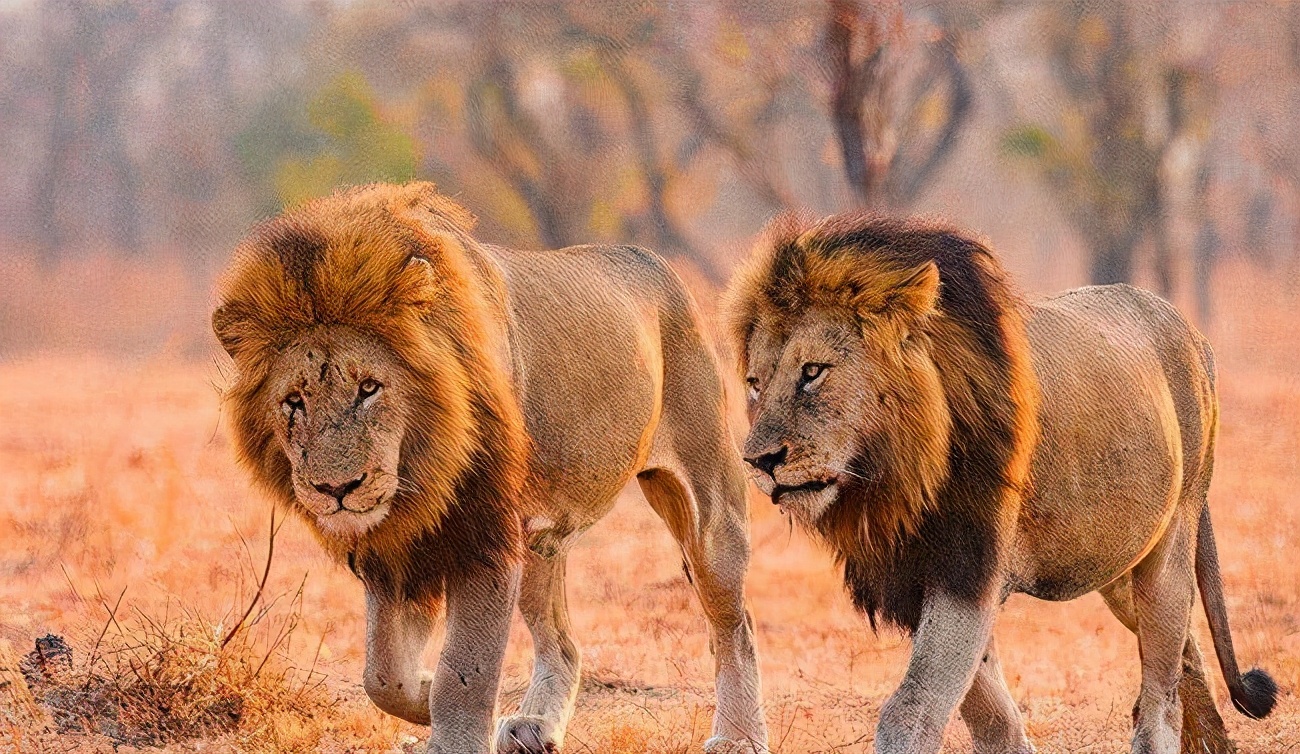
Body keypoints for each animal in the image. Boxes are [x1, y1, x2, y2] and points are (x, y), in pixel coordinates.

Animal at [212, 182, 768, 754]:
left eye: (369, 387)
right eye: (294, 401)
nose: (337, 488)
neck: (422, 469)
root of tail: (652, 260)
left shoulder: (486, 534)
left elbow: (467, 668)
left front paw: (452, 732)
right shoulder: (395, 552)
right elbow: (382, 674)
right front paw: (424, 698)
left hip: (709, 506)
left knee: (736, 624)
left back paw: (739, 737)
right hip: (540, 541)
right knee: (564, 643)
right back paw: (534, 727)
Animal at [723, 212, 1277, 754]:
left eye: (813, 371)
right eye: (754, 384)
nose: (759, 460)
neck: (893, 478)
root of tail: (1191, 331)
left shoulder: (968, 568)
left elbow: (914, 707)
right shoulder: (912, 578)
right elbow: (991, 712)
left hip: (1172, 538)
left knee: (1163, 693)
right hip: (1120, 558)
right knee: (1186, 654)